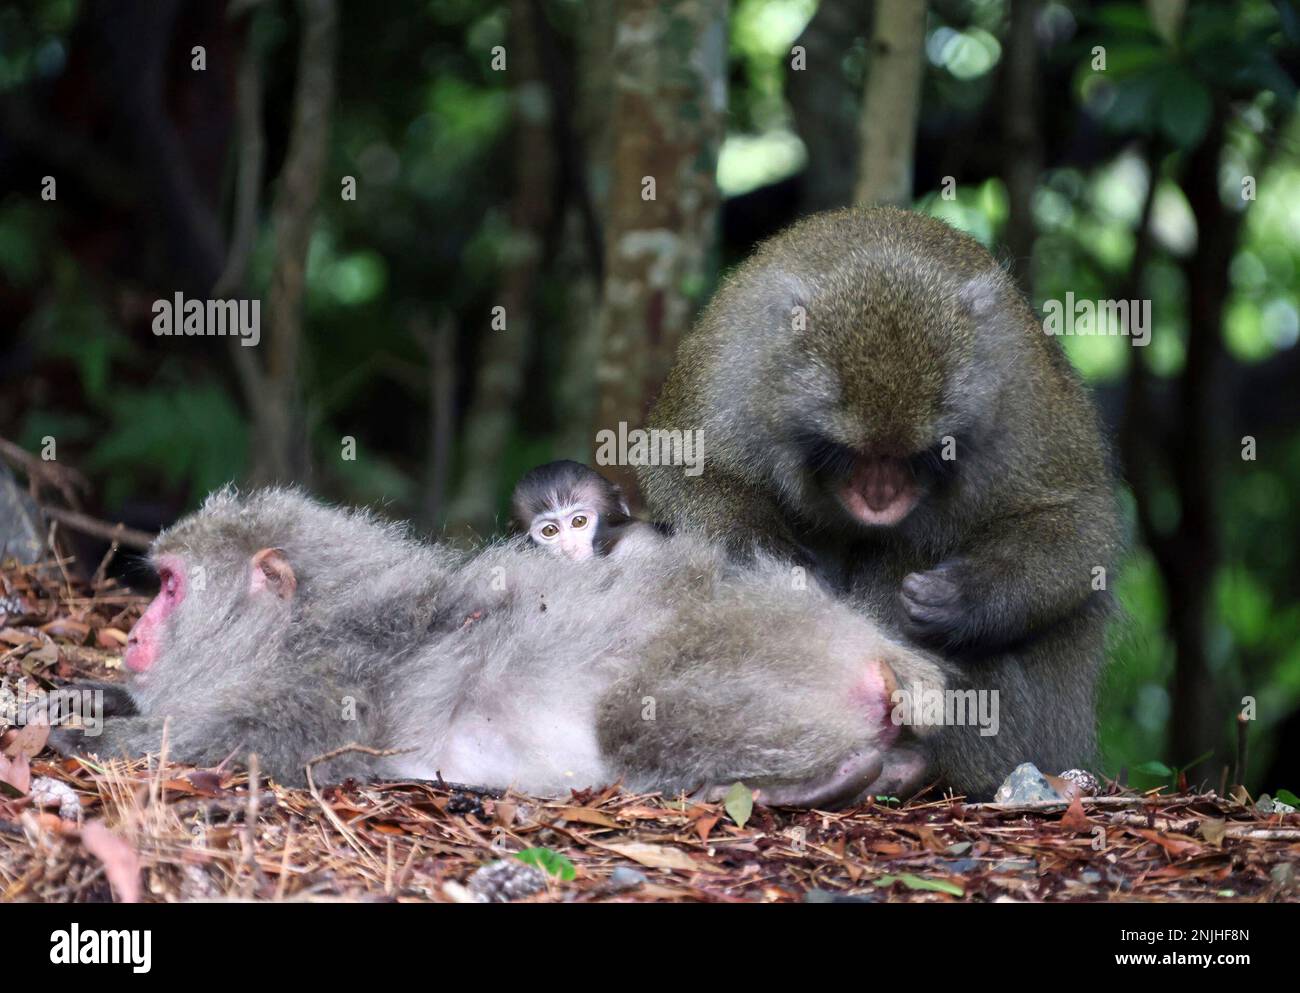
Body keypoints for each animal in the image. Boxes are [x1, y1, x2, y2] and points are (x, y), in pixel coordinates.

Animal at [36, 487, 945, 805]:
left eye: (168, 587)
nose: (136, 631)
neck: (302, 625)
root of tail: (866, 642)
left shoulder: (324, 682)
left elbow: (219, 747)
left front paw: (78, 731)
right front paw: (78, 695)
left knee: (633, 718)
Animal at [638, 206, 1123, 799]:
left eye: (921, 455)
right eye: (848, 452)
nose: (880, 495)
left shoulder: (1020, 385)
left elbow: (1081, 525)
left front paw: (963, 599)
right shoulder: (736, 369)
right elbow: (683, 470)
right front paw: (769, 557)